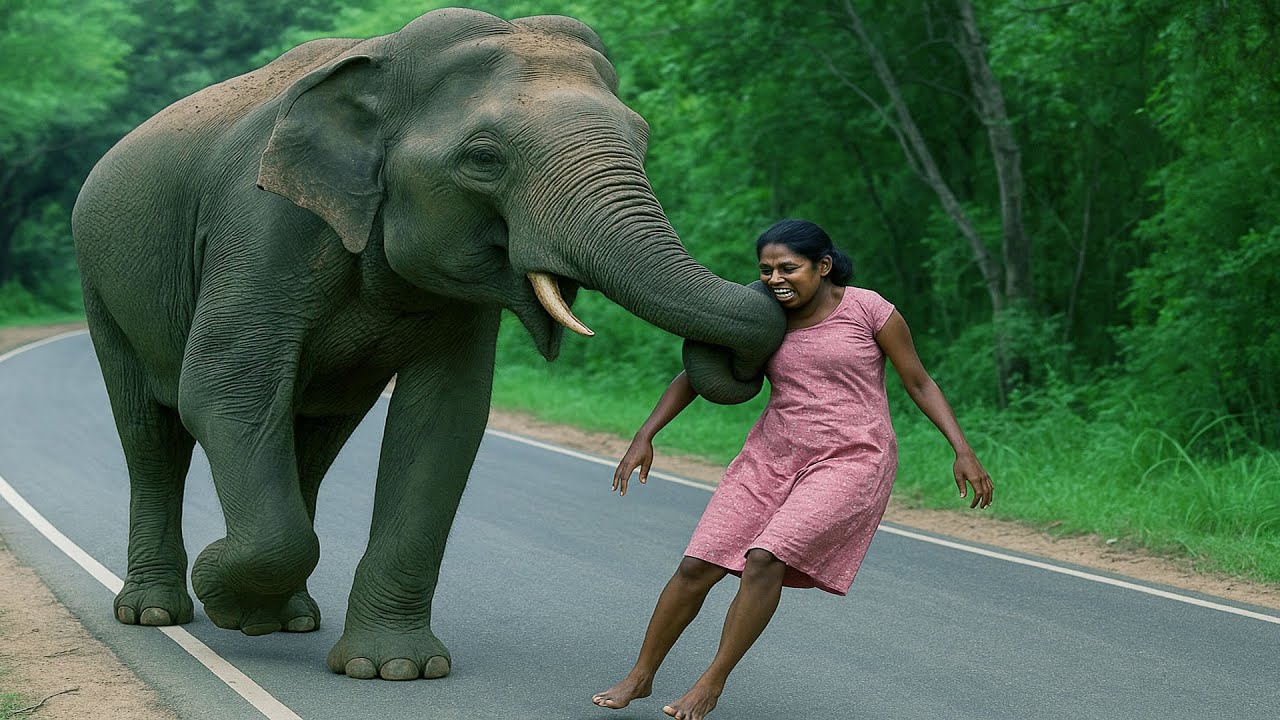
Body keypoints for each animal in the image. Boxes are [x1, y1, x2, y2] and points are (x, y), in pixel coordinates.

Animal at [71, 8, 785, 681]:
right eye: (483, 158)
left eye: (642, 139)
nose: (770, 286)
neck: (384, 67)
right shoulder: (263, 224)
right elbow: (226, 389)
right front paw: (224, 589)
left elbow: (447, 418)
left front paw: (393, 670)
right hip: (99, 284)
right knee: (151, 434)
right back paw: (156, 613)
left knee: (312, 437)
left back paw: (290, 618)